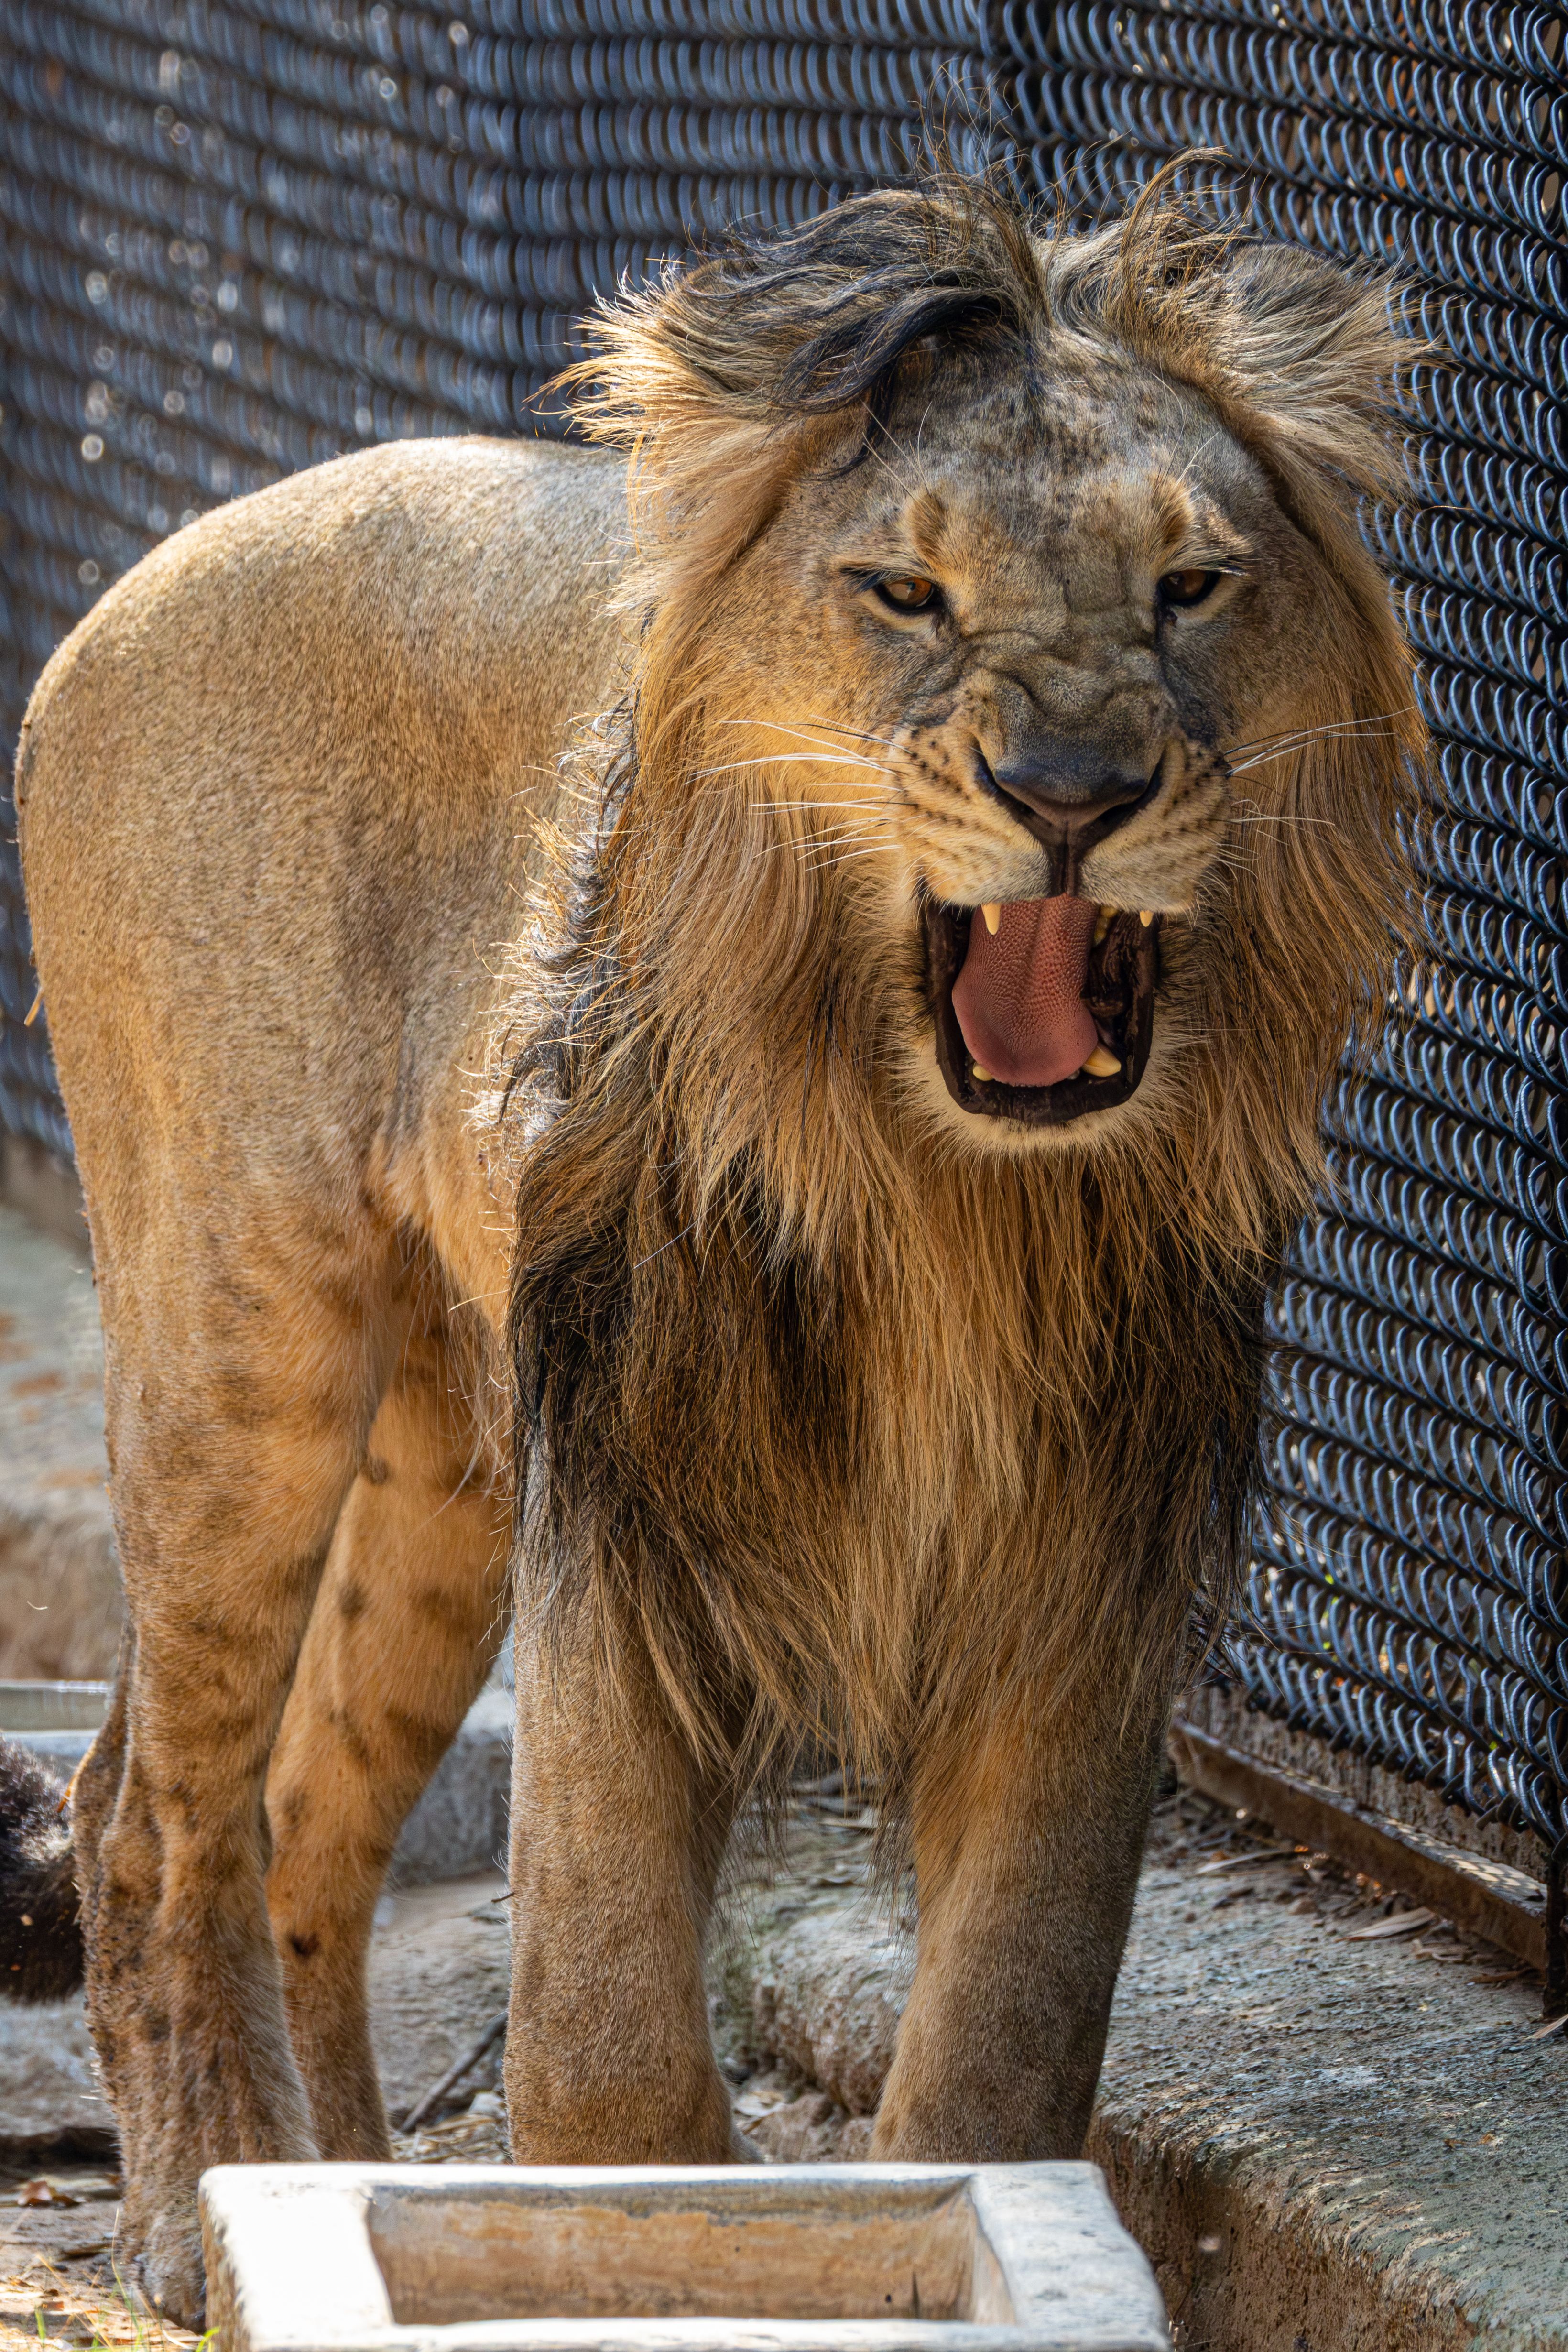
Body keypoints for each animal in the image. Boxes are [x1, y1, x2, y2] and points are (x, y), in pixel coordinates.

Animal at [0, 167, 1422, 2321]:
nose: (1071, 798)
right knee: (152, 1811)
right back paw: (195, 2215)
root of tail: (154, 561)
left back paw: (327, 2192)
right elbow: (602, 2056)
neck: (944, 1198)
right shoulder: (626, 1524)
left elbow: (1002, 2057)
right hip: (243, 1340)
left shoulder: (1082, 1579)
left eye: (1192, 587)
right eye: (903, 595)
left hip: (443, 1466)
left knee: (312, 1819)